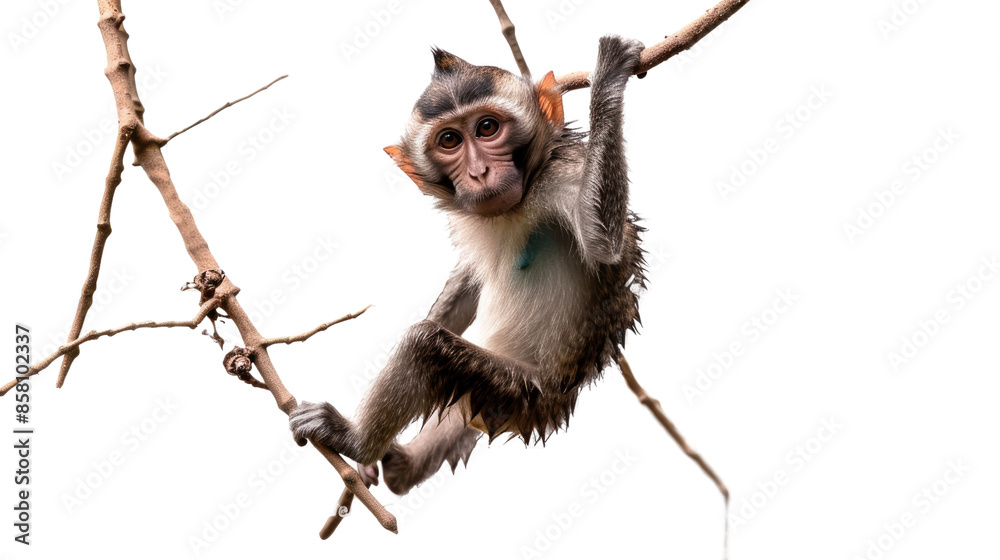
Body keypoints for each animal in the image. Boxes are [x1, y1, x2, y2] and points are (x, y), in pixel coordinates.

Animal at [290, 35, 648, 495]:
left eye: (487, 128)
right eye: (449, 140)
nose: (479, 172)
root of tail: (560, 400)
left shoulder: (565, 173)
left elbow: (603, 245)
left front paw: (607, 84)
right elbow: (466, 283)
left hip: (520, 393)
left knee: (426, 345)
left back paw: (356, 441)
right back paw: (399, 466)